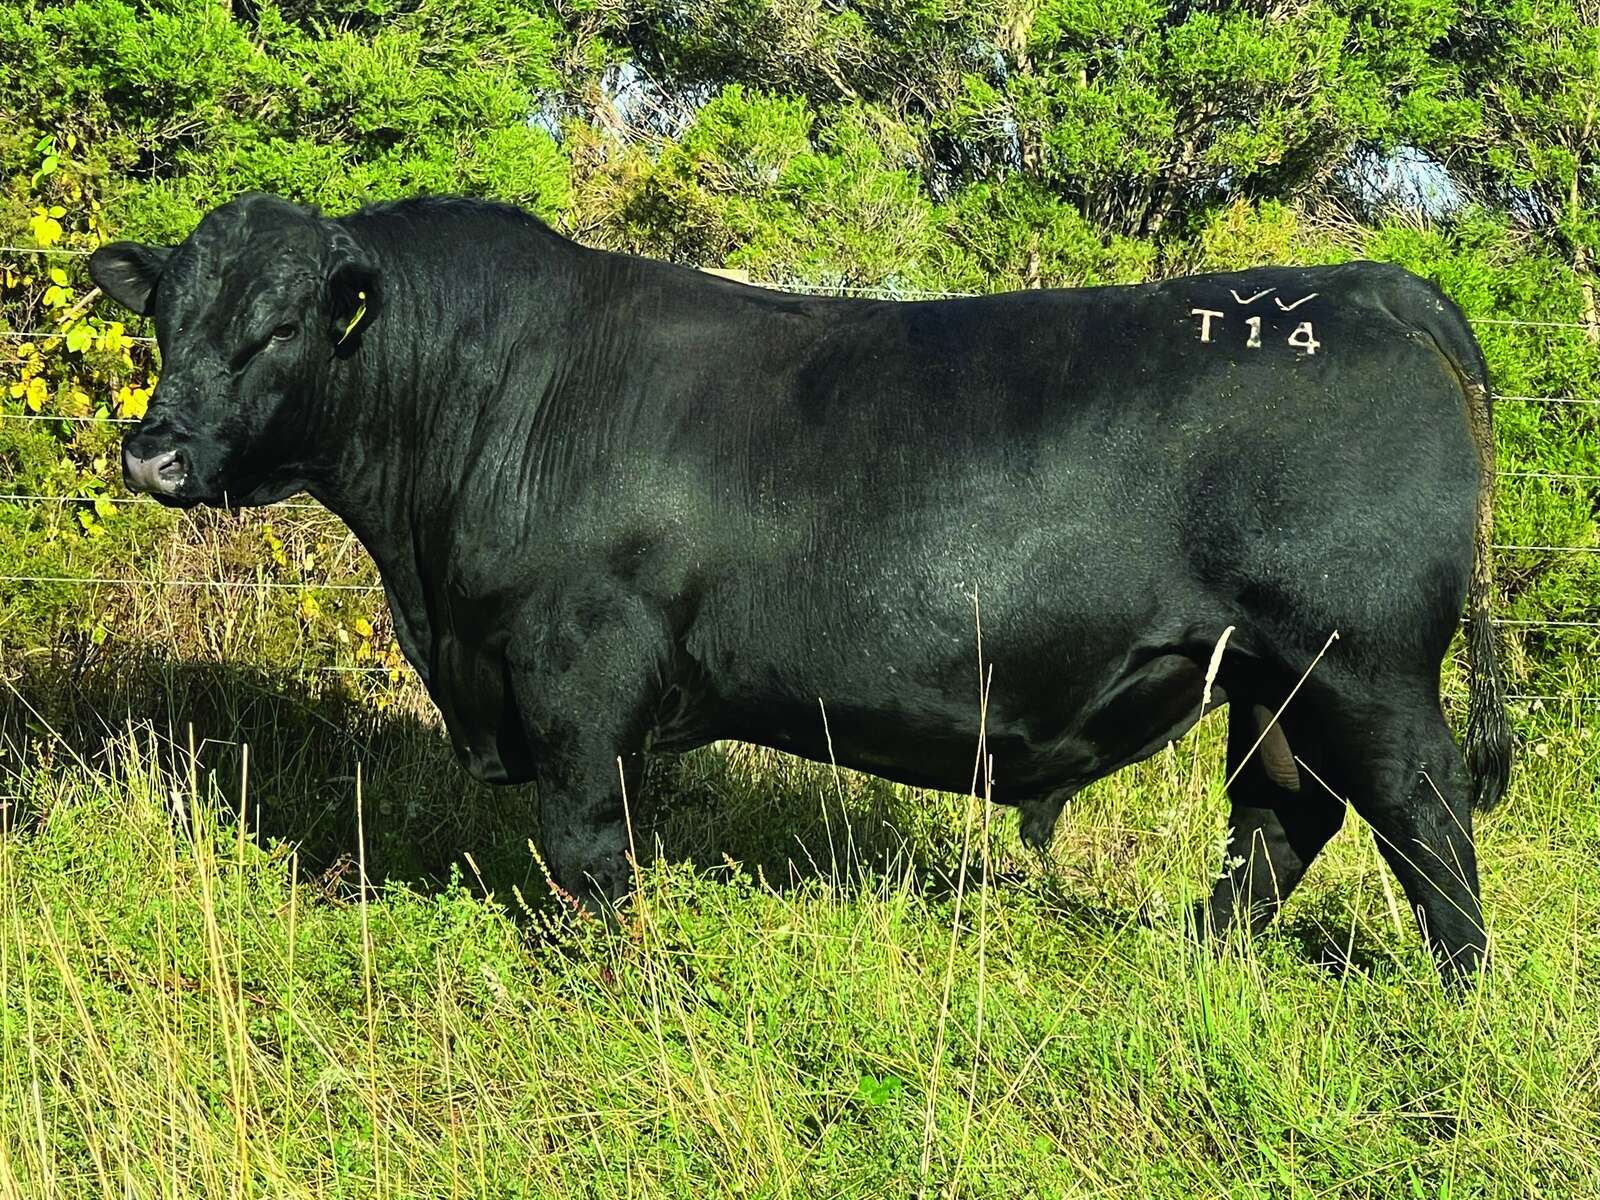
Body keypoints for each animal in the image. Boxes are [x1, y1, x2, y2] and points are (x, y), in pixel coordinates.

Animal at [89, 193, 1513, 988]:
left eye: (279, 327)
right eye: (163, 316)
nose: (153, 452)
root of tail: (1370, 284)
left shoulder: (574, 675)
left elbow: (586, 853)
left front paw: (620, 991)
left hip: (1362, 662)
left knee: (1424, 825)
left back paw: (1454, 1003)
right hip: (1270, 677)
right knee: (1283, 818)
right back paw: (1195, 962)